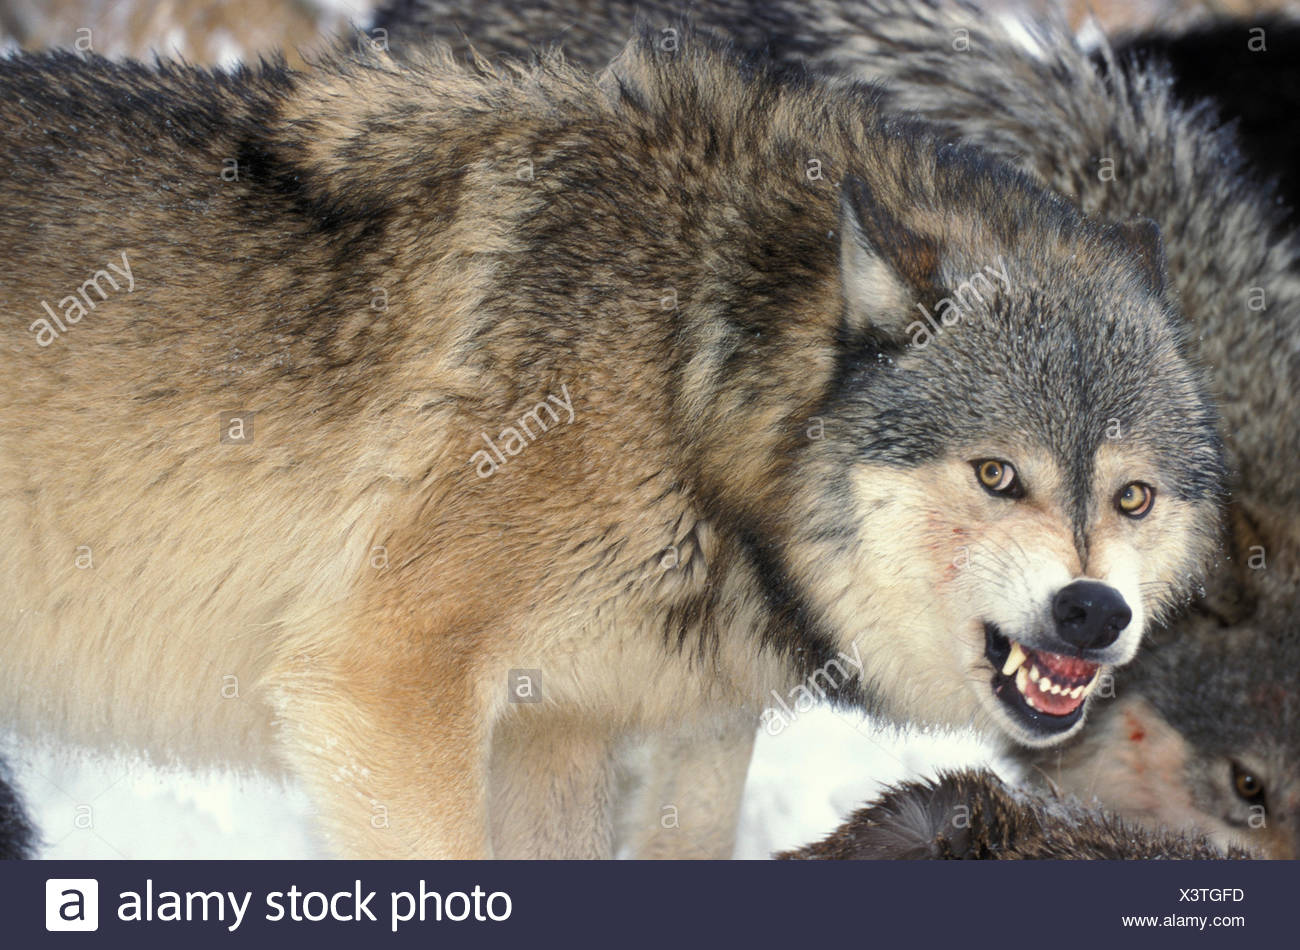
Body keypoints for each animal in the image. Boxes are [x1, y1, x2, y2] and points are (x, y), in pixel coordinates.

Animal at [0, 31, 1222, 858]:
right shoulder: (383, 684)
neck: (688, 374)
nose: (1093, 612)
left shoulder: (569, 733)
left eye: (1133, 497)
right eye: (997, 474)